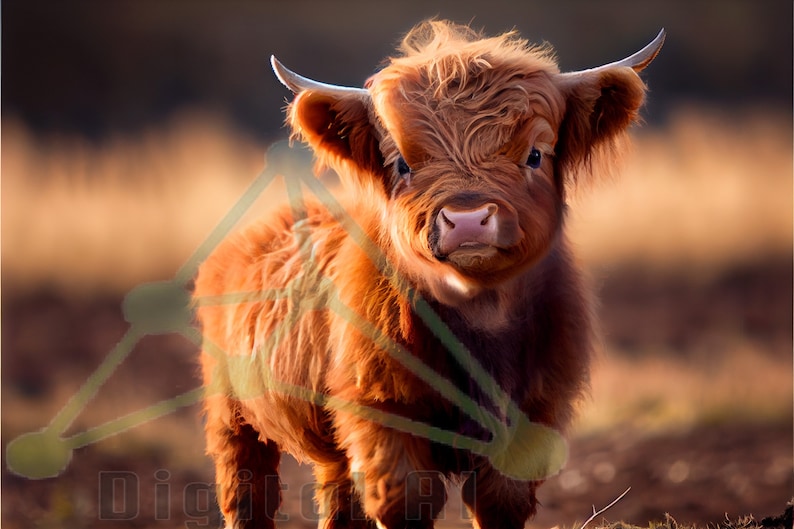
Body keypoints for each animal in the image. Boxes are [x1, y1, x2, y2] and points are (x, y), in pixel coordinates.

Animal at [193, 20, 664, 529]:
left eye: (536, 155)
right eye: (402, 162)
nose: (469, 219)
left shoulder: (534, 414)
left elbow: (500, 502)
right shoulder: (381, 415)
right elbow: (406, 502)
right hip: (232, 416)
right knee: (247, 490)